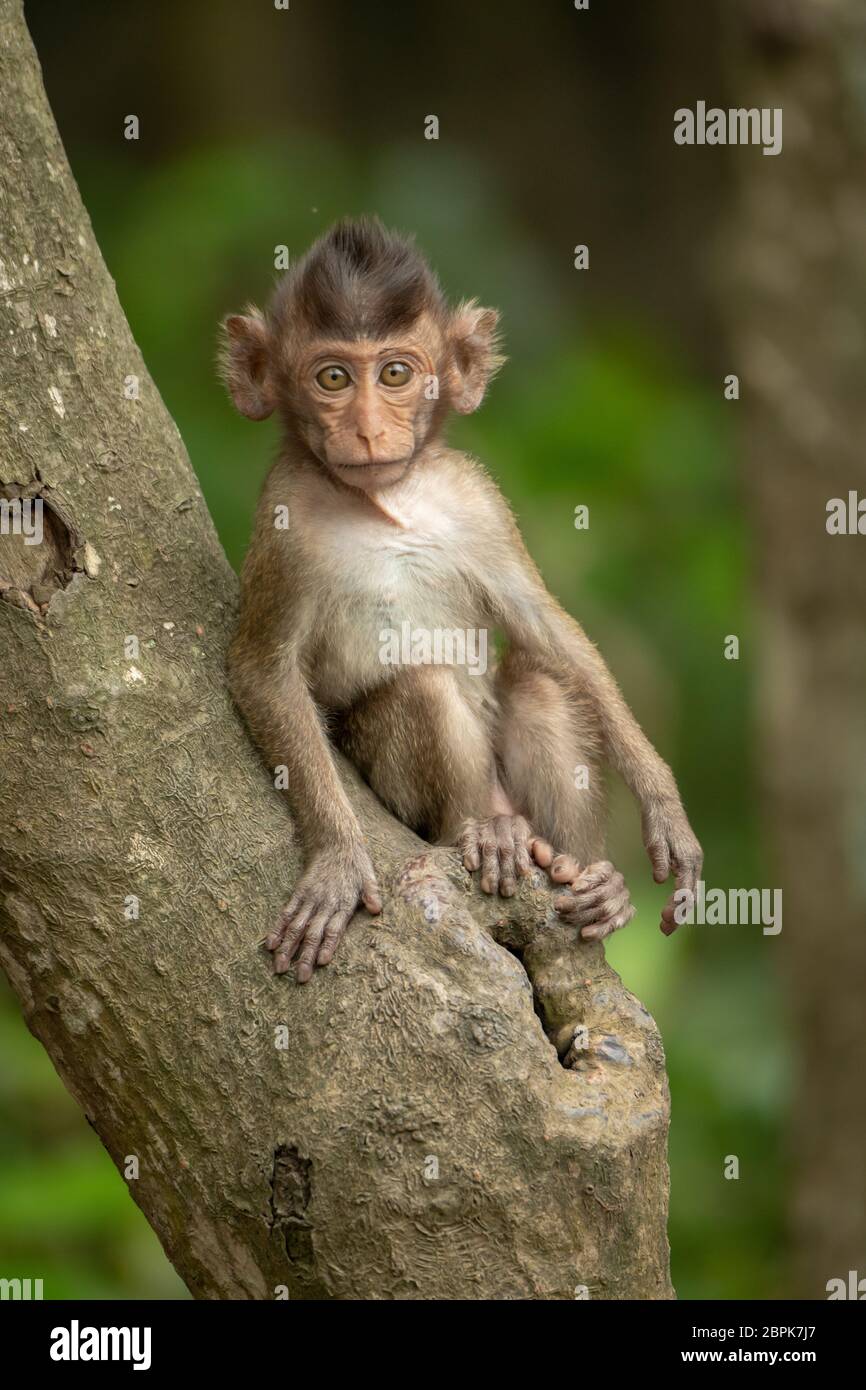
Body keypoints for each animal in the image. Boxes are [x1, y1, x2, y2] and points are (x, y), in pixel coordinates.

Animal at [220, 217, 702, 982]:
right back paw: (483, 830)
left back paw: (591, 881)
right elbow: (263, 670)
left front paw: (663, 803)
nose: (367, 428)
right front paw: (338, 859)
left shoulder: (479, 499)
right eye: (333, 377)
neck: (386, 501)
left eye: (395, 373)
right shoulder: (282, 519)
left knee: (540, 685)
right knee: (421, 689)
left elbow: (547, 629)